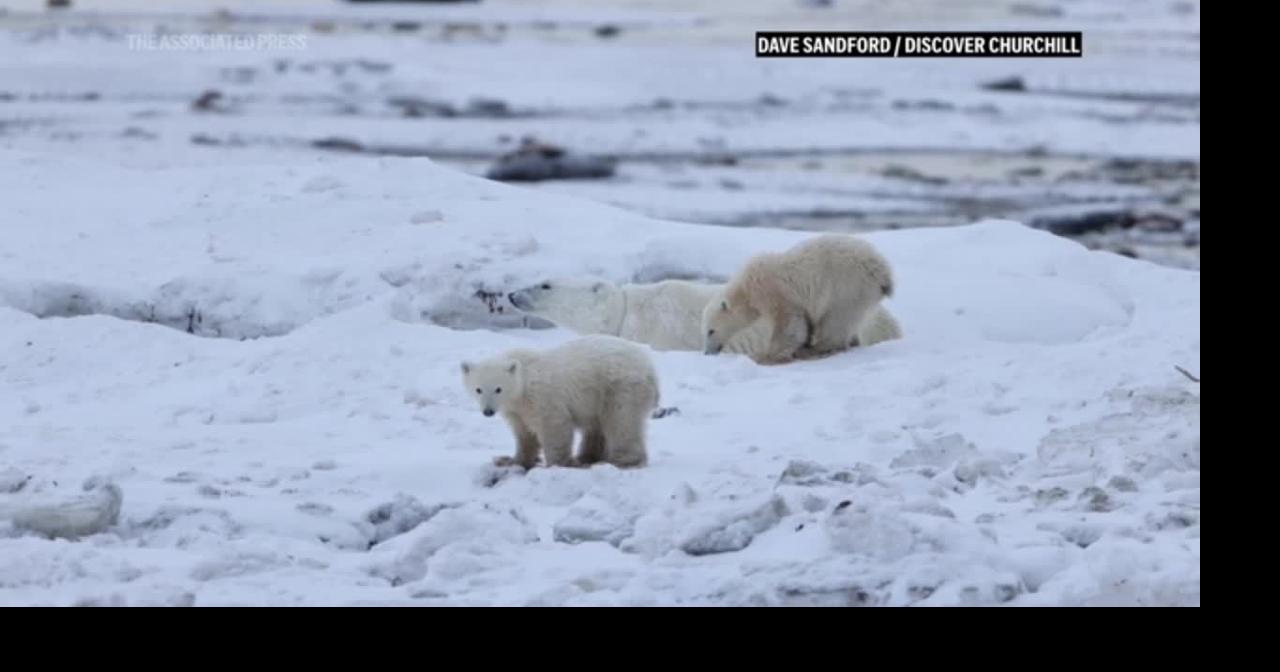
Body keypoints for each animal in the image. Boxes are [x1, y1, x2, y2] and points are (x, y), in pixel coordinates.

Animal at [460, 335, 660, 470]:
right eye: (478, 389)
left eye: (498, 389)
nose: (488, 411)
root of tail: (650, 368)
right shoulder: (516, 409)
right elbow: (523, 433)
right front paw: (512, 460)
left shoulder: (541, 396)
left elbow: (554, 425)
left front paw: (558, 464)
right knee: (597, 426)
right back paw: (587, 457)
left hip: (619, 387)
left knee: (621, 421)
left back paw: (622, 460)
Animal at [702, 233, 894, 364]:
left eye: (710, 331)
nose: (707, 353)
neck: (745, 286)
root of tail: (883, 272)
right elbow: (805, 323)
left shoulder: (775, 291)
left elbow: (788, 324)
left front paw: (766, 355)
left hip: (847, 285)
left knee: (836, 320)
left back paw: (817, 349)